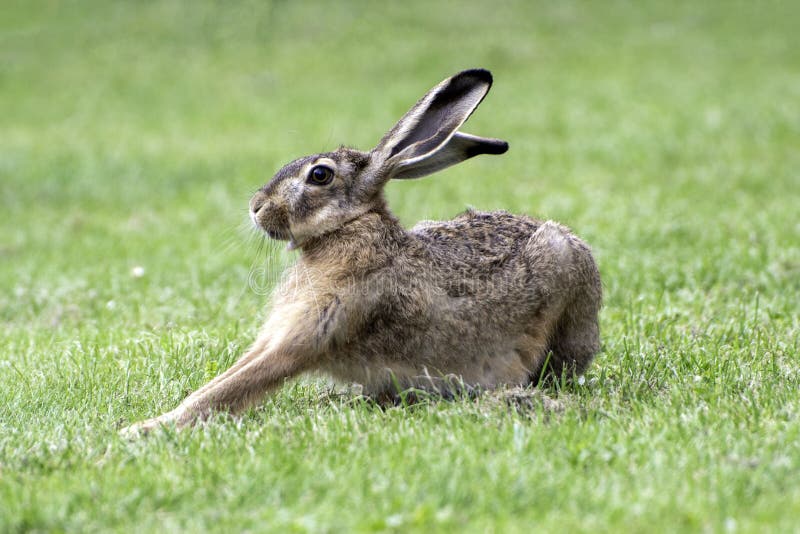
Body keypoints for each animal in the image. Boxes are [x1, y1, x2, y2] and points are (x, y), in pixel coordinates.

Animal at [121, 69, 602, 436]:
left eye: (319, 175)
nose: (256, 206)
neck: (346, 232)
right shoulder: (277, 334)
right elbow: (221, 380)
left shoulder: (309, 335)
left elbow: (227, 390)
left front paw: (141, 430)